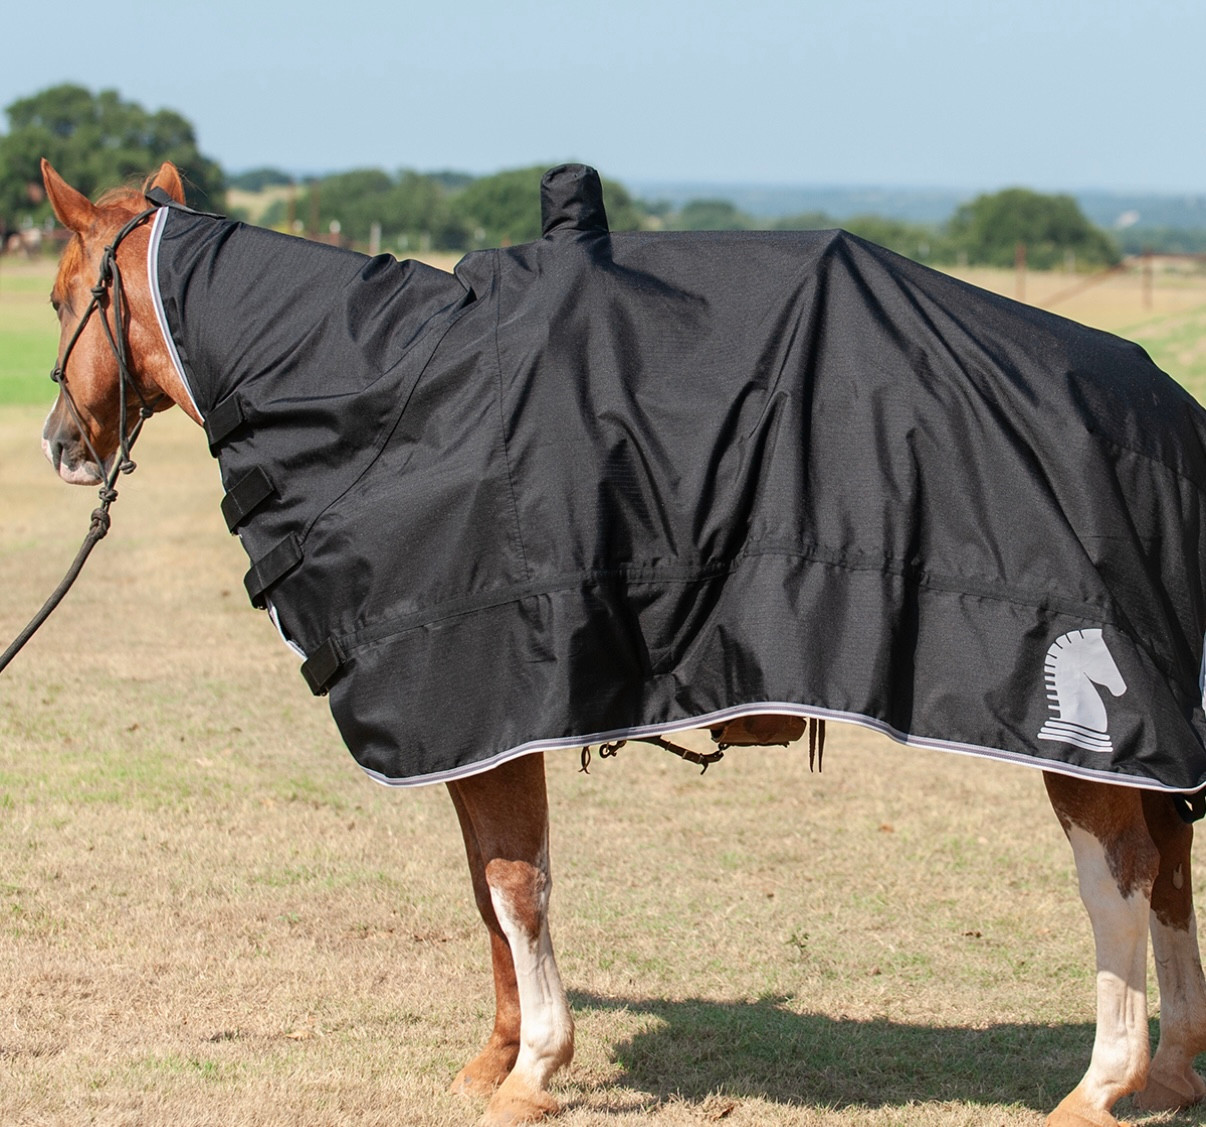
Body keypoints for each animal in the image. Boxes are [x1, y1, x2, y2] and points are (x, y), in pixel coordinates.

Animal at [33, 157, 1206, 1127]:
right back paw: (1173, 1069)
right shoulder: (478, 731)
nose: (57, 446)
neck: (390, 400)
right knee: (1171, 866)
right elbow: (488, 888)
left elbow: (516, 887)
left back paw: (1101, 1085)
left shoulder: (488, 709)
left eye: (55, 296)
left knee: (1121, 875)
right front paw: (494, 1056)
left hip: (1086, 726)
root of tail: (1164, 410)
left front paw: (534, 1068)